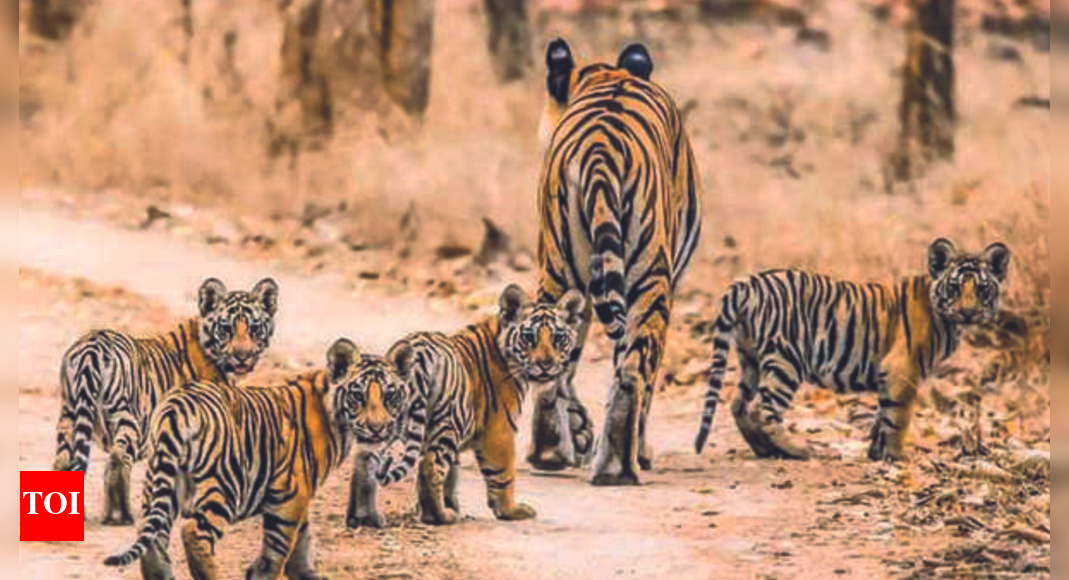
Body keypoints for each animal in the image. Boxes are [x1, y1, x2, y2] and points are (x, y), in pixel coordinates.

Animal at [52, 277, 279, 526]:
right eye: (226, 328)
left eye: (255, 328)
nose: (242, 356)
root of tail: (92, 347)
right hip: (126, 415)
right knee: (118, 458)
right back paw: (120, 516)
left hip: (70, 414)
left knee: (63, 460)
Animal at [104, 339, 417, 580]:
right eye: (358, 395)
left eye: (390, 395)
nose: (377, 428)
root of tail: (176, 406)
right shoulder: (291, 495)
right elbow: (279, 548)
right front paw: (264, 573)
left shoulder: (299, 494)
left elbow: (302, 539)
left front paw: (306, 574)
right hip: (224, 486)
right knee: (192, 532)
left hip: (161, 483)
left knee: (153, 538)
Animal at [346, 284, 587, 527]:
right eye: (529, 337)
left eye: (558, 338)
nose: (546, 364)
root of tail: (420, 352)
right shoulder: (500, 430)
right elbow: (503, 473)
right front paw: (510, 511)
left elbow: (452, 473)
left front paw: (449, 504)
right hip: (446, 422)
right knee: (429, 466)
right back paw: (440, 517)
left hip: (380, 422)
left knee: (363, 462)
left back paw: (362, 518)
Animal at [520, 38, 703, 486]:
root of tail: (601, 150)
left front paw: (580, 431)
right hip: (651, 278)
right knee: (634, 371)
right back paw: (617, 465)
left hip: (559, 269)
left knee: (549, 359)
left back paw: (551, 453)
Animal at [694, 239, 1012, 462]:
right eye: (955, 288)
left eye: (982, 289)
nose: (969, 312)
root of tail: (747, 283)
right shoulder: (903, 371)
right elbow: (899, 418)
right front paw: (897, 457)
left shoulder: (890, 376)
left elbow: (883, 415)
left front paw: (876, 453)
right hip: (787, 360)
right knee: (764, 409)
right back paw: (798, 451)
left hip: (750, 358)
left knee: (739, 404)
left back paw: (764, 449)